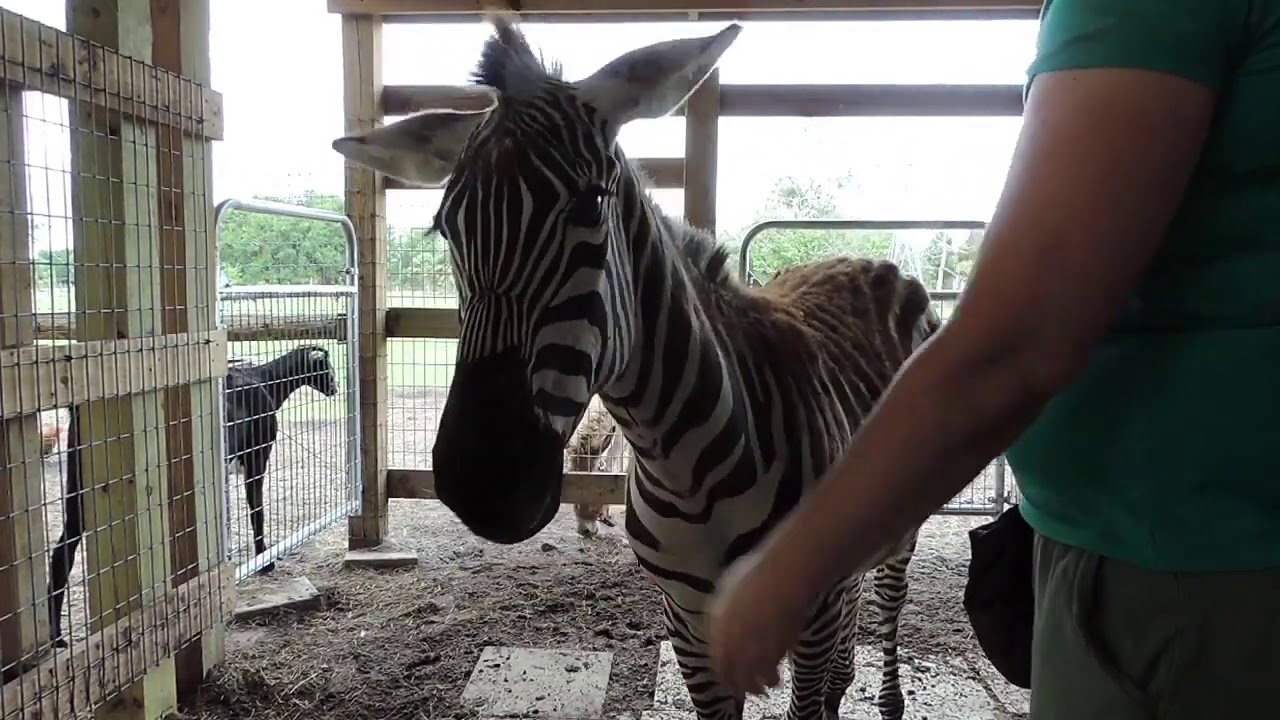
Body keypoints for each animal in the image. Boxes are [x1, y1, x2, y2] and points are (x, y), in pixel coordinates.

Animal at [331, 18, 938, 720]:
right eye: (445, 228)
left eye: (591, 205)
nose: (483, 485)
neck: (685, 468)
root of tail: (860, 258)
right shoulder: (690, 623)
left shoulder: (807, 616)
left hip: (900, 527)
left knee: (884, 608)